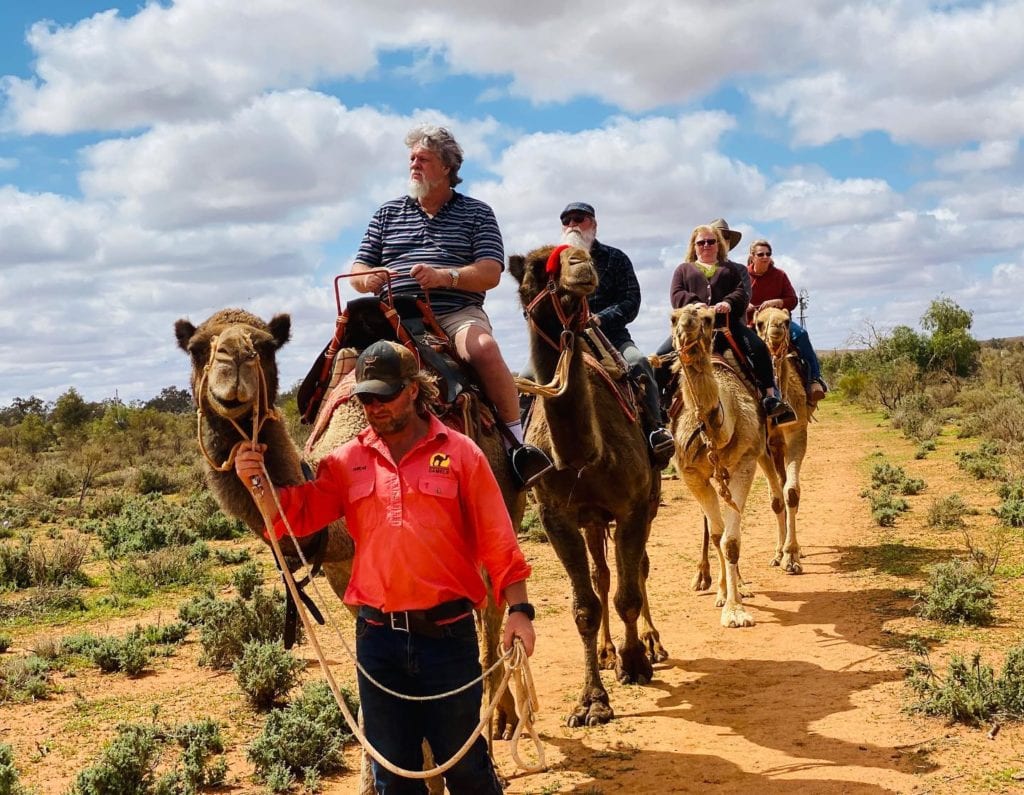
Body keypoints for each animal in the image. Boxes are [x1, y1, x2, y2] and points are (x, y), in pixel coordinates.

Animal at [509, 244, 665, 728]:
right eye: (532, 274)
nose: (580, 262)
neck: (586, 456)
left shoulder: (633, 506)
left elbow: (628, 593)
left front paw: (635, 664)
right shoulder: (556, 518)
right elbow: (585, 607)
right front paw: (592, 701)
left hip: (648, 497)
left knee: (637, 568)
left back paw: (650, 644)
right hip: (592, 520)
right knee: (601, 573)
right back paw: (606, 650)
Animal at [668, 304, 786, 628]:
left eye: (708, 318)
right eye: (673, 318)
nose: (687, 326)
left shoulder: (744, 462)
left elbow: (731, 541)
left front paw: (735, 611)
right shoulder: (690, 473)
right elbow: (718, 535)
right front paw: (724, 595)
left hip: (763, 448)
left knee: (777, 496)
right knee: (713, 526)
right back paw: (718, 584)